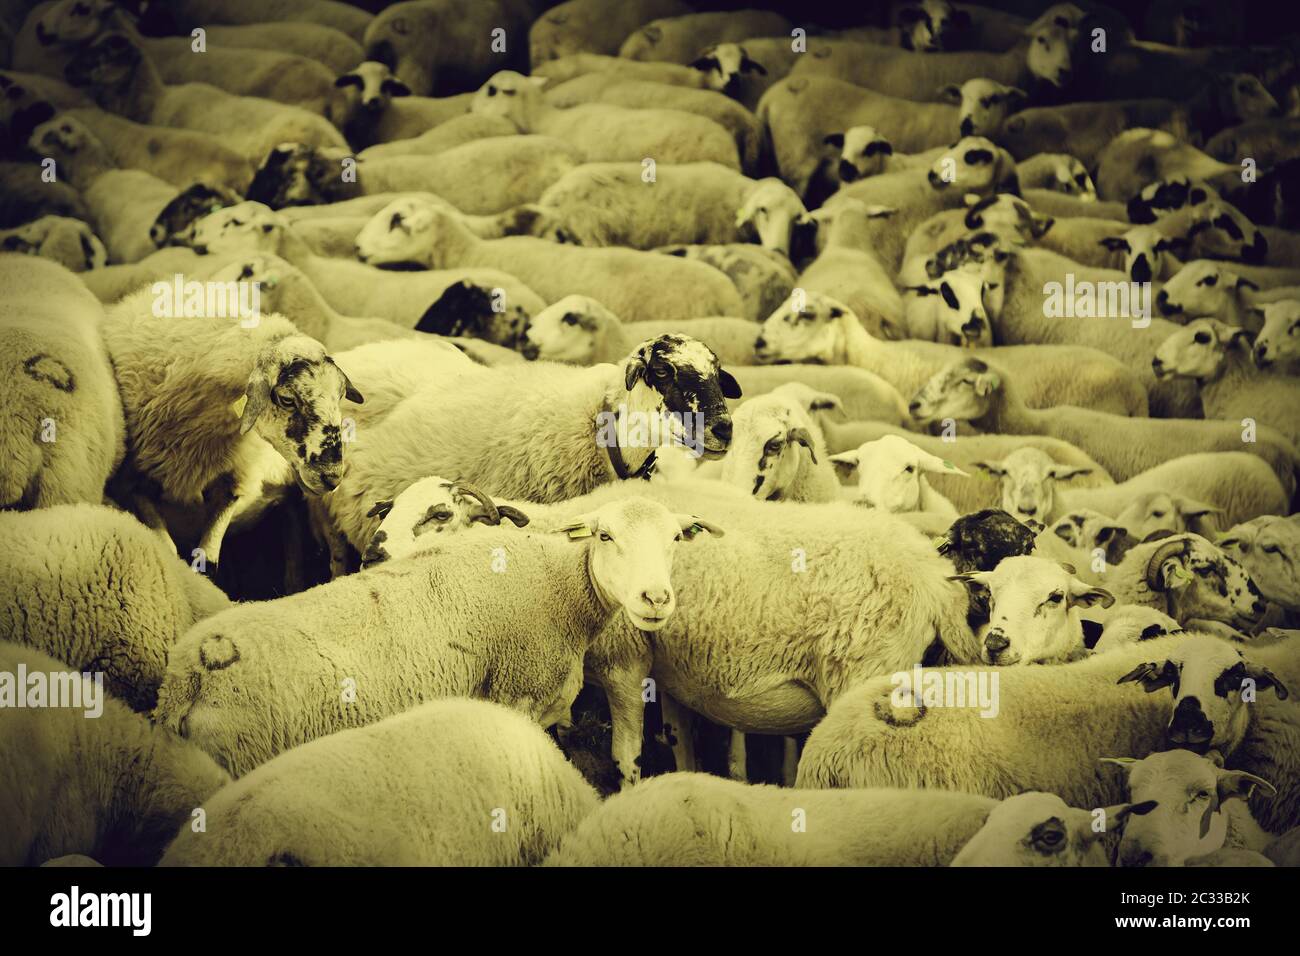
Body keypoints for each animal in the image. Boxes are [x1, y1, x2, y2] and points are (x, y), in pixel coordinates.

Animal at [101, 284, 365, 568]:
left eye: (340, 396)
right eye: (286, 399)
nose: (332, 477)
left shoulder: (231, 484)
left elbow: (208, 556)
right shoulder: (132, 483)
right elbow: (168, 548)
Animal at [155, 496, 720, 776]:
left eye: (676, 539)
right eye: (605, 536)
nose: (655, 598)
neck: (560, 585)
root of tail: (187, 674)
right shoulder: (516, 699)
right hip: (240, 755)